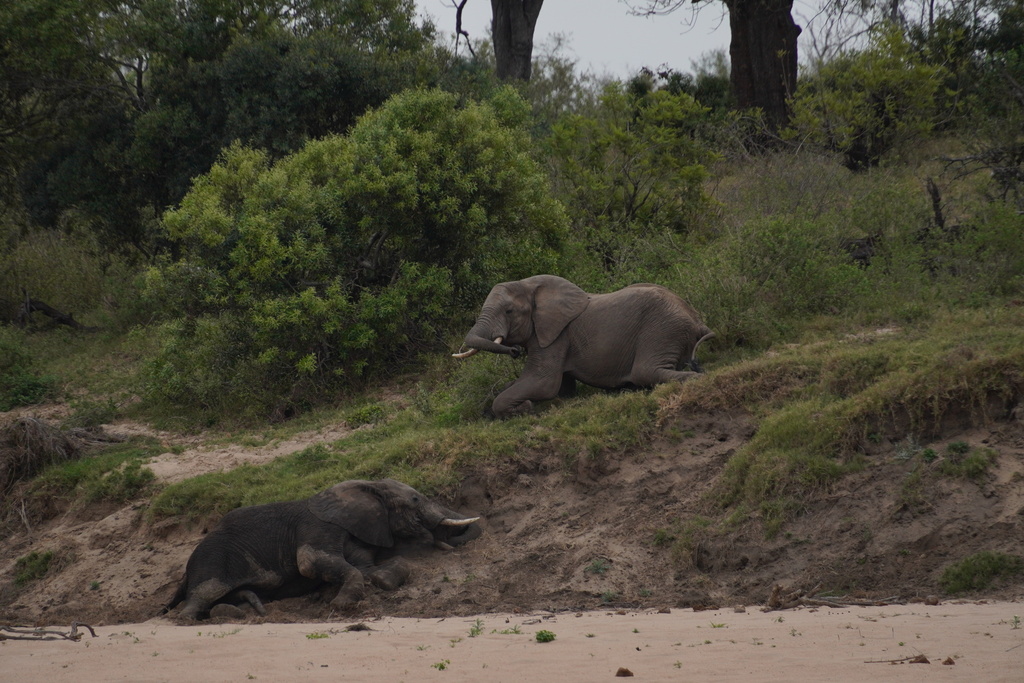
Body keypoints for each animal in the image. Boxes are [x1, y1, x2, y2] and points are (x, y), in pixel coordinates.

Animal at [163, 479, 481, 620]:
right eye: (415, 500)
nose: (442, 540)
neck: (367, 486)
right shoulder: (318, 528)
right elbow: (309, 561)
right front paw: (341, 605)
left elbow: (369, 566)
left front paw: (381, 578)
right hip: (211, 559)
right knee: (203, 595)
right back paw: (194, 618)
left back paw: (234, 612)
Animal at [454, 275, 714, 419]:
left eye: (508, 311)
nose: (515, 351)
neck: (529, 285)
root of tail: (697, 319)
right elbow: (561, 389)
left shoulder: (556, 335)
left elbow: (543, 383)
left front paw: (524, 408)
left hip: (662, 327)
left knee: (646, 371)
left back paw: (697, 378)